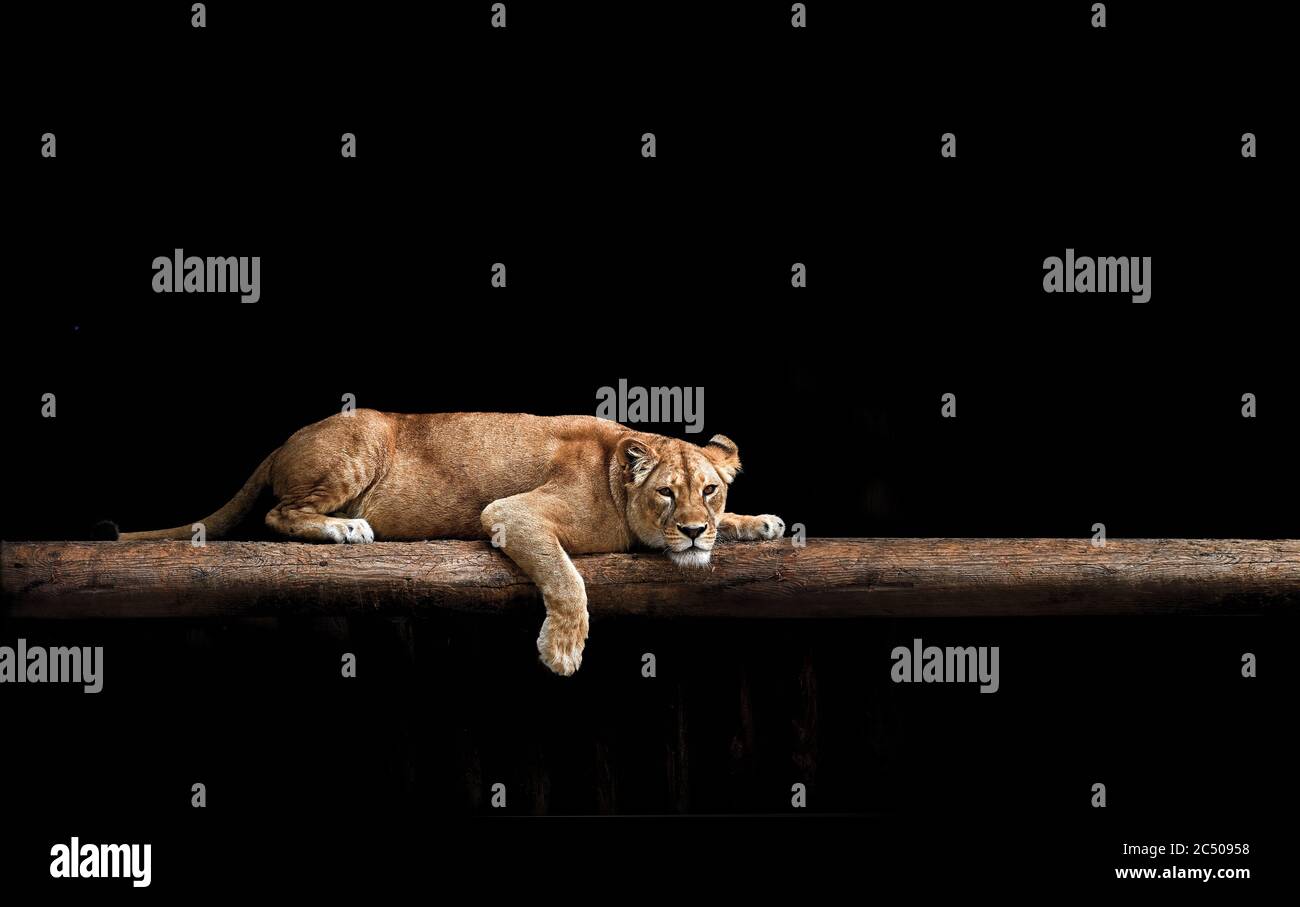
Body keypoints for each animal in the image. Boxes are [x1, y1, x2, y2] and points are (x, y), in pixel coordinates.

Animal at [101, 411, 785, 675]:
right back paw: (346, 527)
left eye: (710, 491)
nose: (693, 530)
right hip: (360, 445)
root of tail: (285, 439)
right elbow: (567, 577)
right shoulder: (511, 513)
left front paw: (759, 522)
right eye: (667, 493)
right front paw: (563, 649)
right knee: (277, 514)